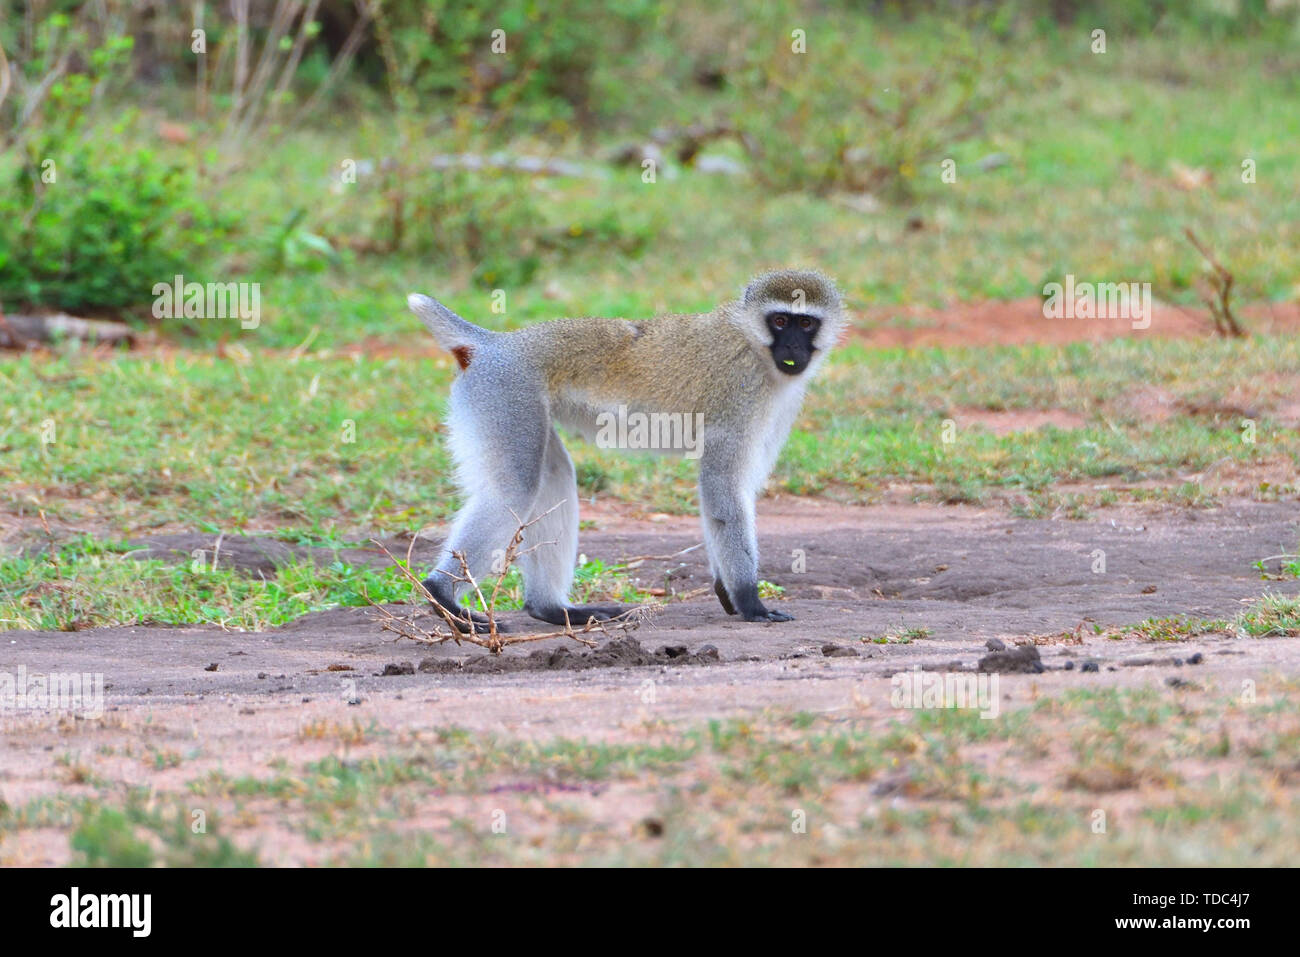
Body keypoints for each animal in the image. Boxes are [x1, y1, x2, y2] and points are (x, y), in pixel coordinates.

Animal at [407, 269, 845, 630]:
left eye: (805, 322)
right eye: (780, 320)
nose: (792, 348)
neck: (754, 345)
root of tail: (499, 345)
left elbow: (735, 492)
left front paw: (725, 588)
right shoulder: (741, 392)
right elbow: (723, 489)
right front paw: (749, 600)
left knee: (553, 476)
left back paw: (550, 610)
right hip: (505, 393)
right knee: (514, 489)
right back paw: (442, 594)